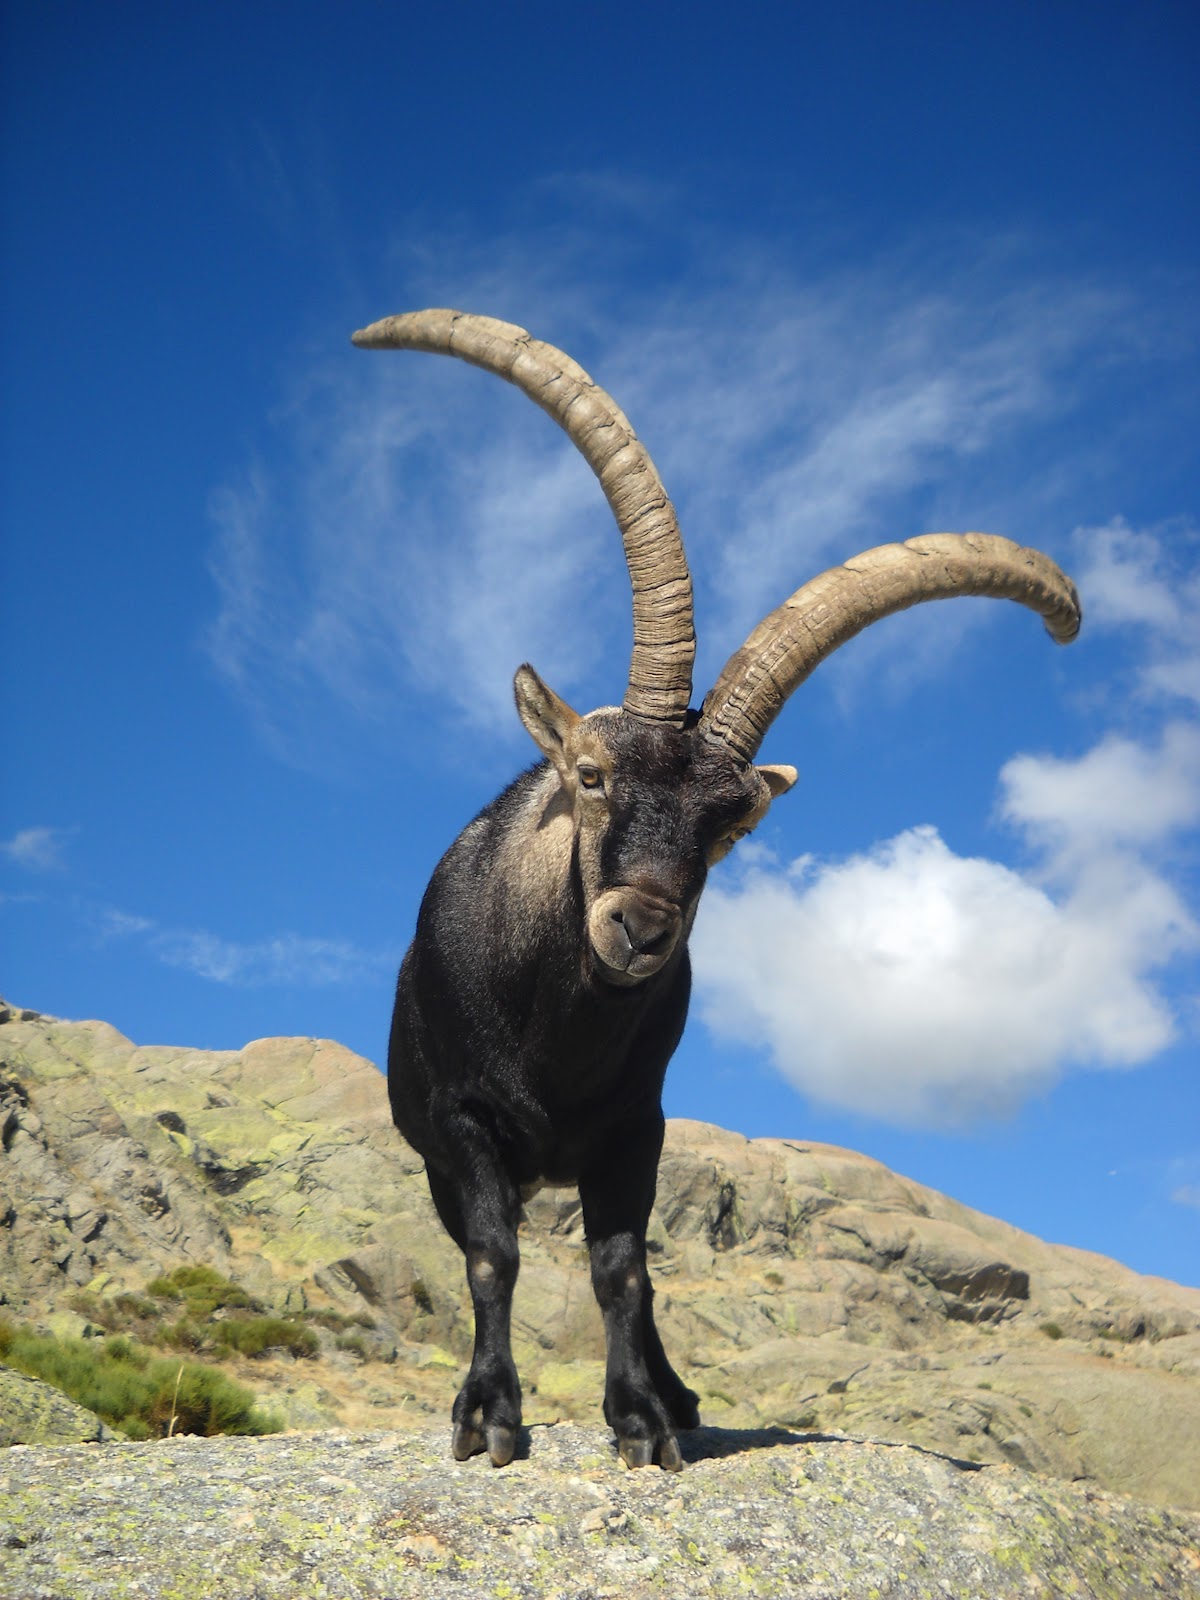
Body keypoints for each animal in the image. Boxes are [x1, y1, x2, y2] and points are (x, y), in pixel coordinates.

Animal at [352, 309, 1081, 1472]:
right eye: (591, 775)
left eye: (732, 824)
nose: (641, 928)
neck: (552, 1038)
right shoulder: (461, 1125)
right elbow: (492, 1258)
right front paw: (489, 1417)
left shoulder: (633, 1128)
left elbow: (623, 1269)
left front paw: (643, 1420)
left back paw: (676, 1391)